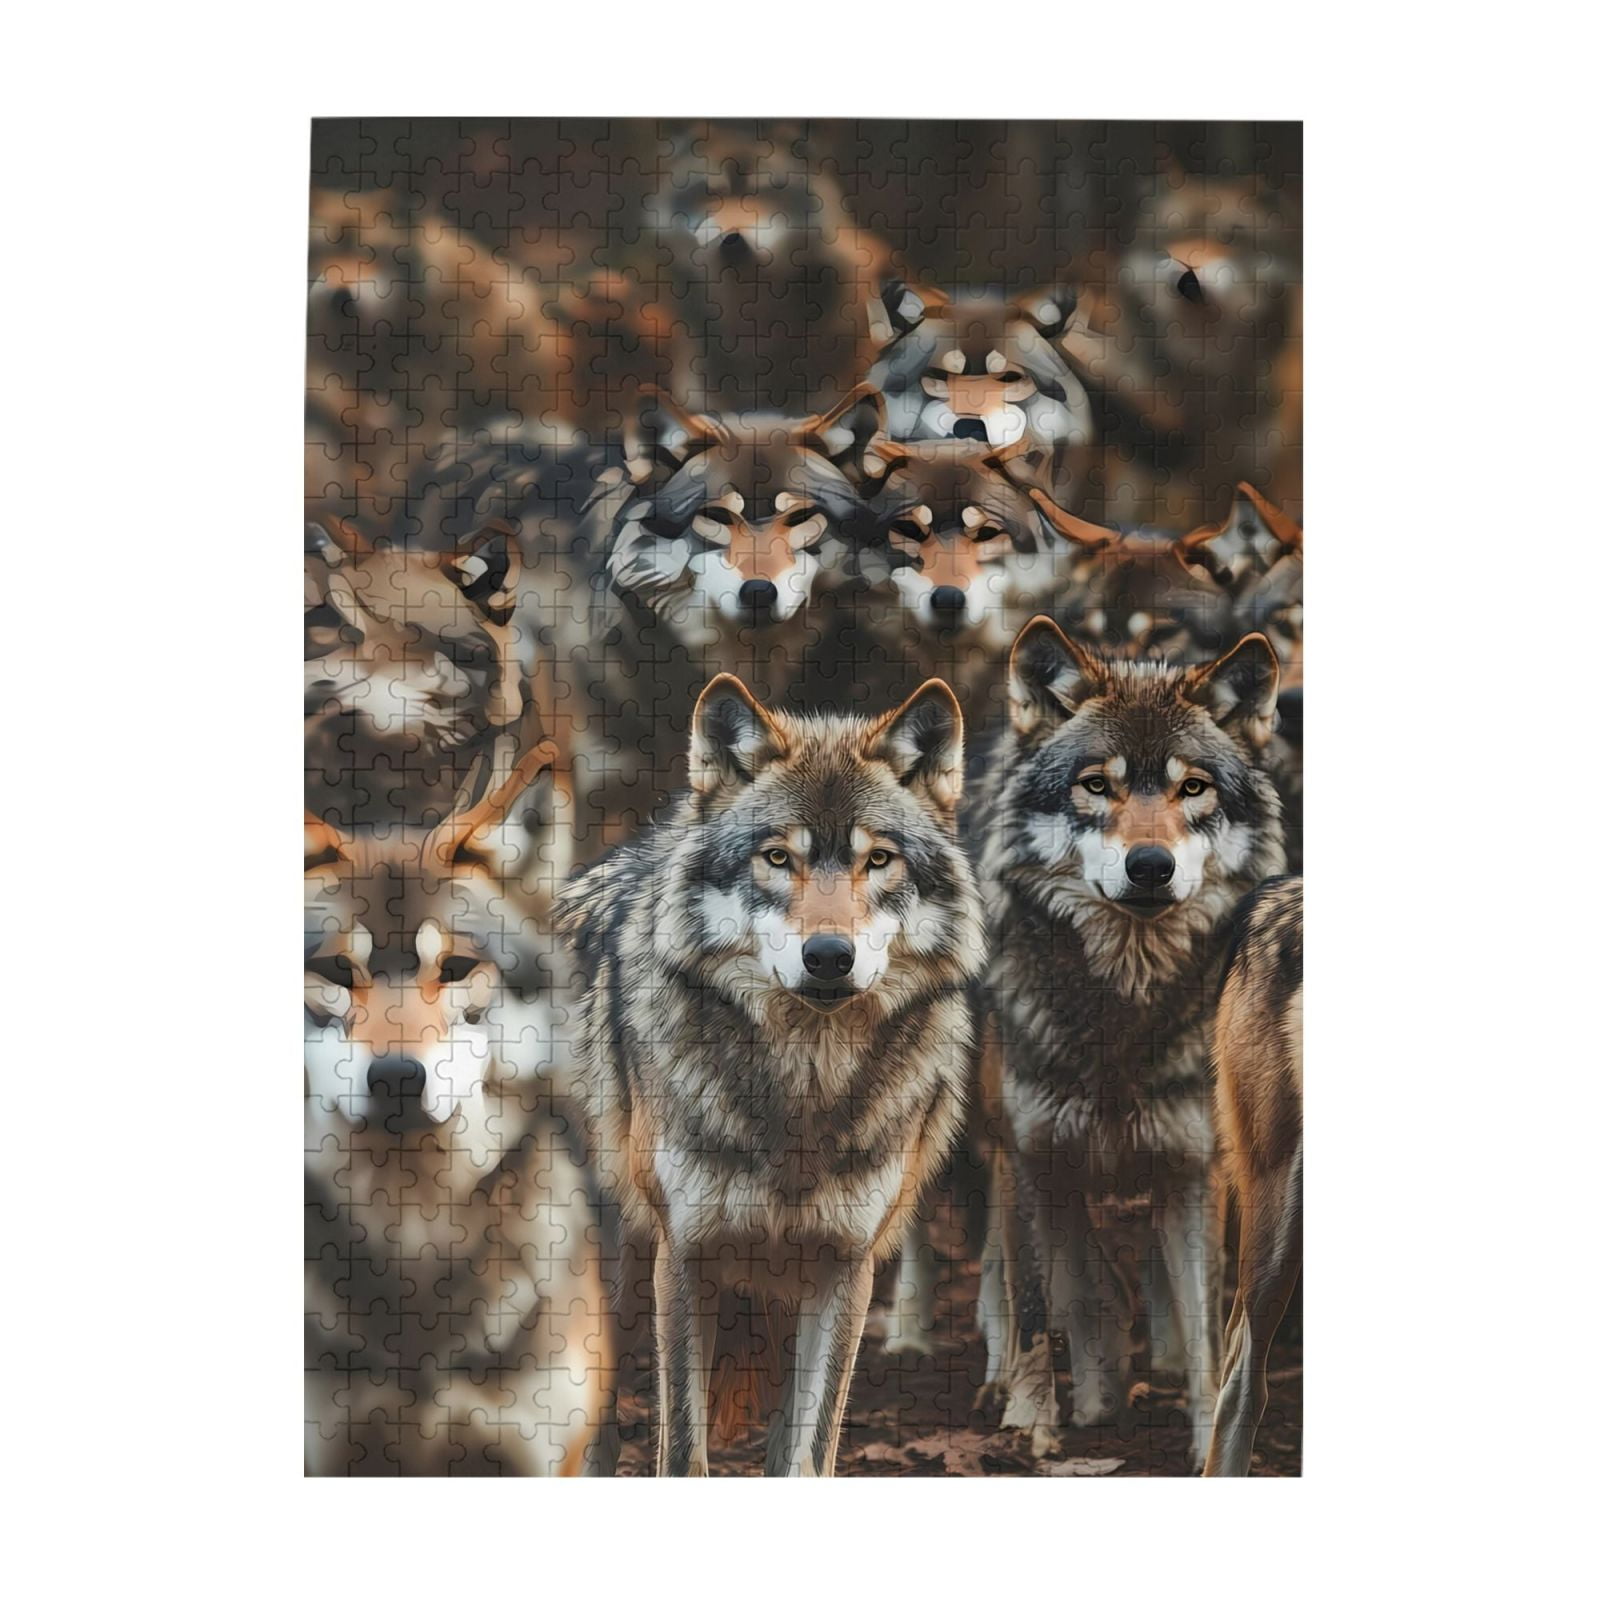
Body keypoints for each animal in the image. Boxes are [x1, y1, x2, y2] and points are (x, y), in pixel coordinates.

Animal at [557, 674, 987, 1475]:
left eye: (879, 860)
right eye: (778, 858)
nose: (829, 956)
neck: (802, 1095)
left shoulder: (846, 1270)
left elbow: (808, 1457)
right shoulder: (684, 1258)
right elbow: (681, 1451)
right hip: (620, 1272)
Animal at [977, 616, 1285, 1469]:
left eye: (1193, 788)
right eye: (1096, 785)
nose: (1152, 865)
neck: (1123, 1007)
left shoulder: (1194, 1169)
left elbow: (1210, 1331)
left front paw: (1204, 1437)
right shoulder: (1031, 1154)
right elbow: (1035, 1301)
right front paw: (1035, 1422)